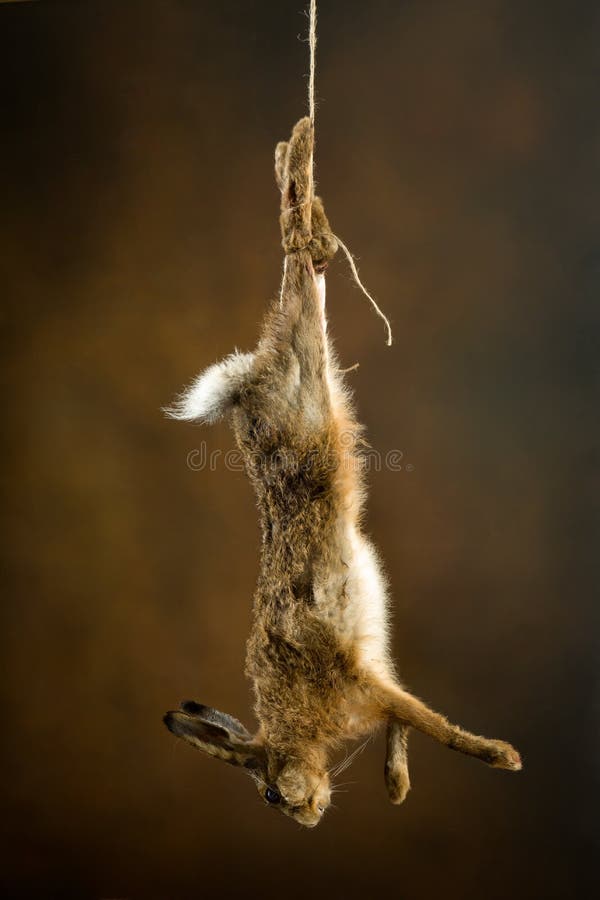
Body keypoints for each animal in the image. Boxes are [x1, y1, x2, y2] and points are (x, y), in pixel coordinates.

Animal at [163, 117, 522, 828]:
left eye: (270, 794)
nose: (306, 818)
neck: (295, 723)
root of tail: (251, 379)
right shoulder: (376, 672)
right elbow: (404, 723)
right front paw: (398, 785)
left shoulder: (364, 682)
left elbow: (428, 722)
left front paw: (499, 758)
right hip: (314, 362)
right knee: (307, 260)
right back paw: (298, 170)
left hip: (306, 368)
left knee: (297, 263)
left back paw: (299, 159)